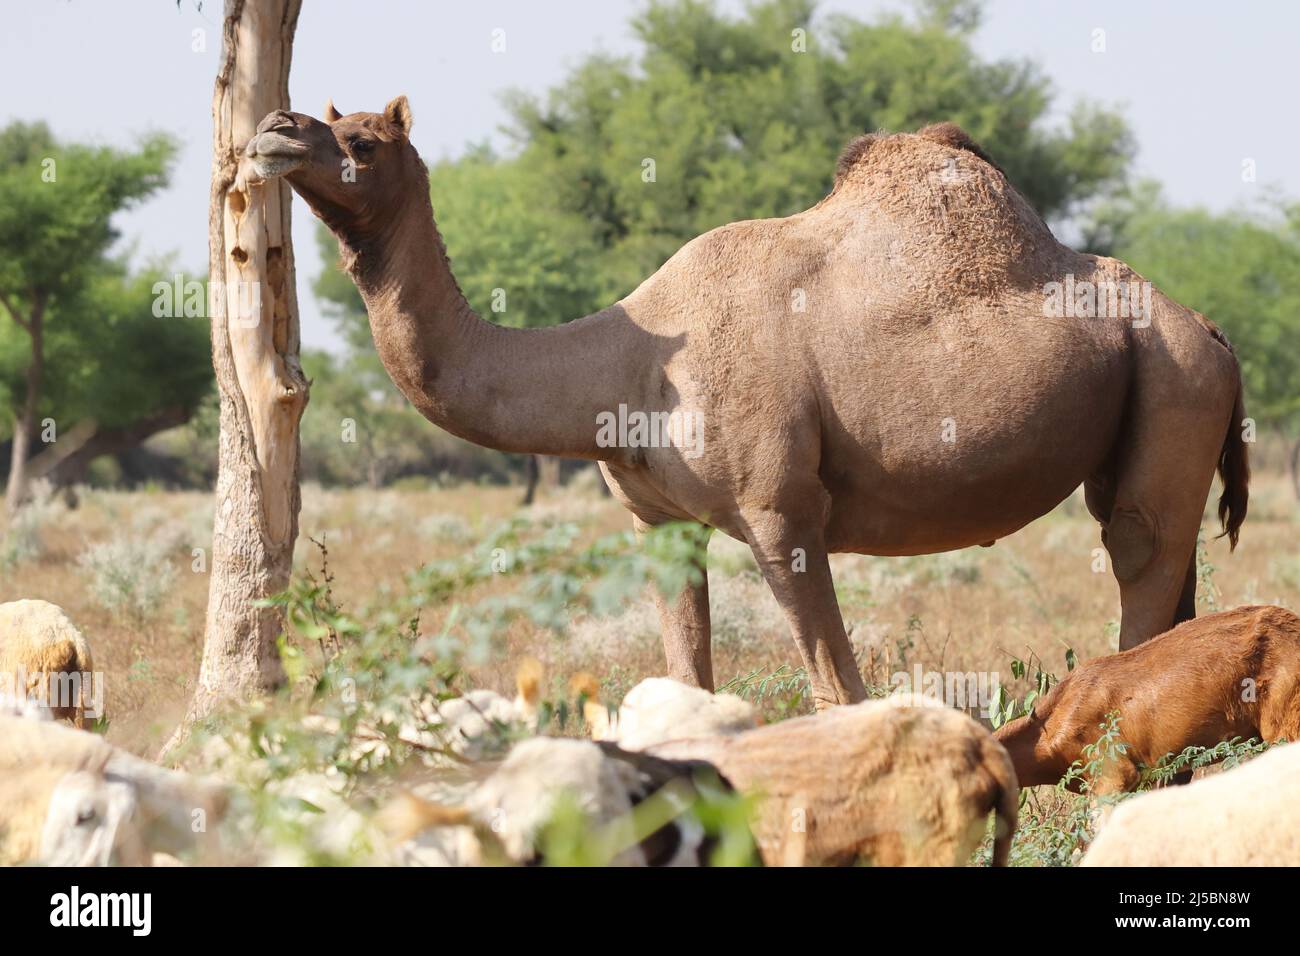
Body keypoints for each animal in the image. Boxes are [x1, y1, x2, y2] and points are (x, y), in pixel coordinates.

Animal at [244, 96, 1249, 709]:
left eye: (364, 142)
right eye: (334, 119)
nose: (273, 129)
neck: (633, 364)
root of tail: (1210, 329)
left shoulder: (781, 510)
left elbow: (836, 689)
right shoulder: (657, 522)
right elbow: (689, 678)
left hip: (1175, 383)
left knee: (1140, 553)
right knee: (1172, 570)